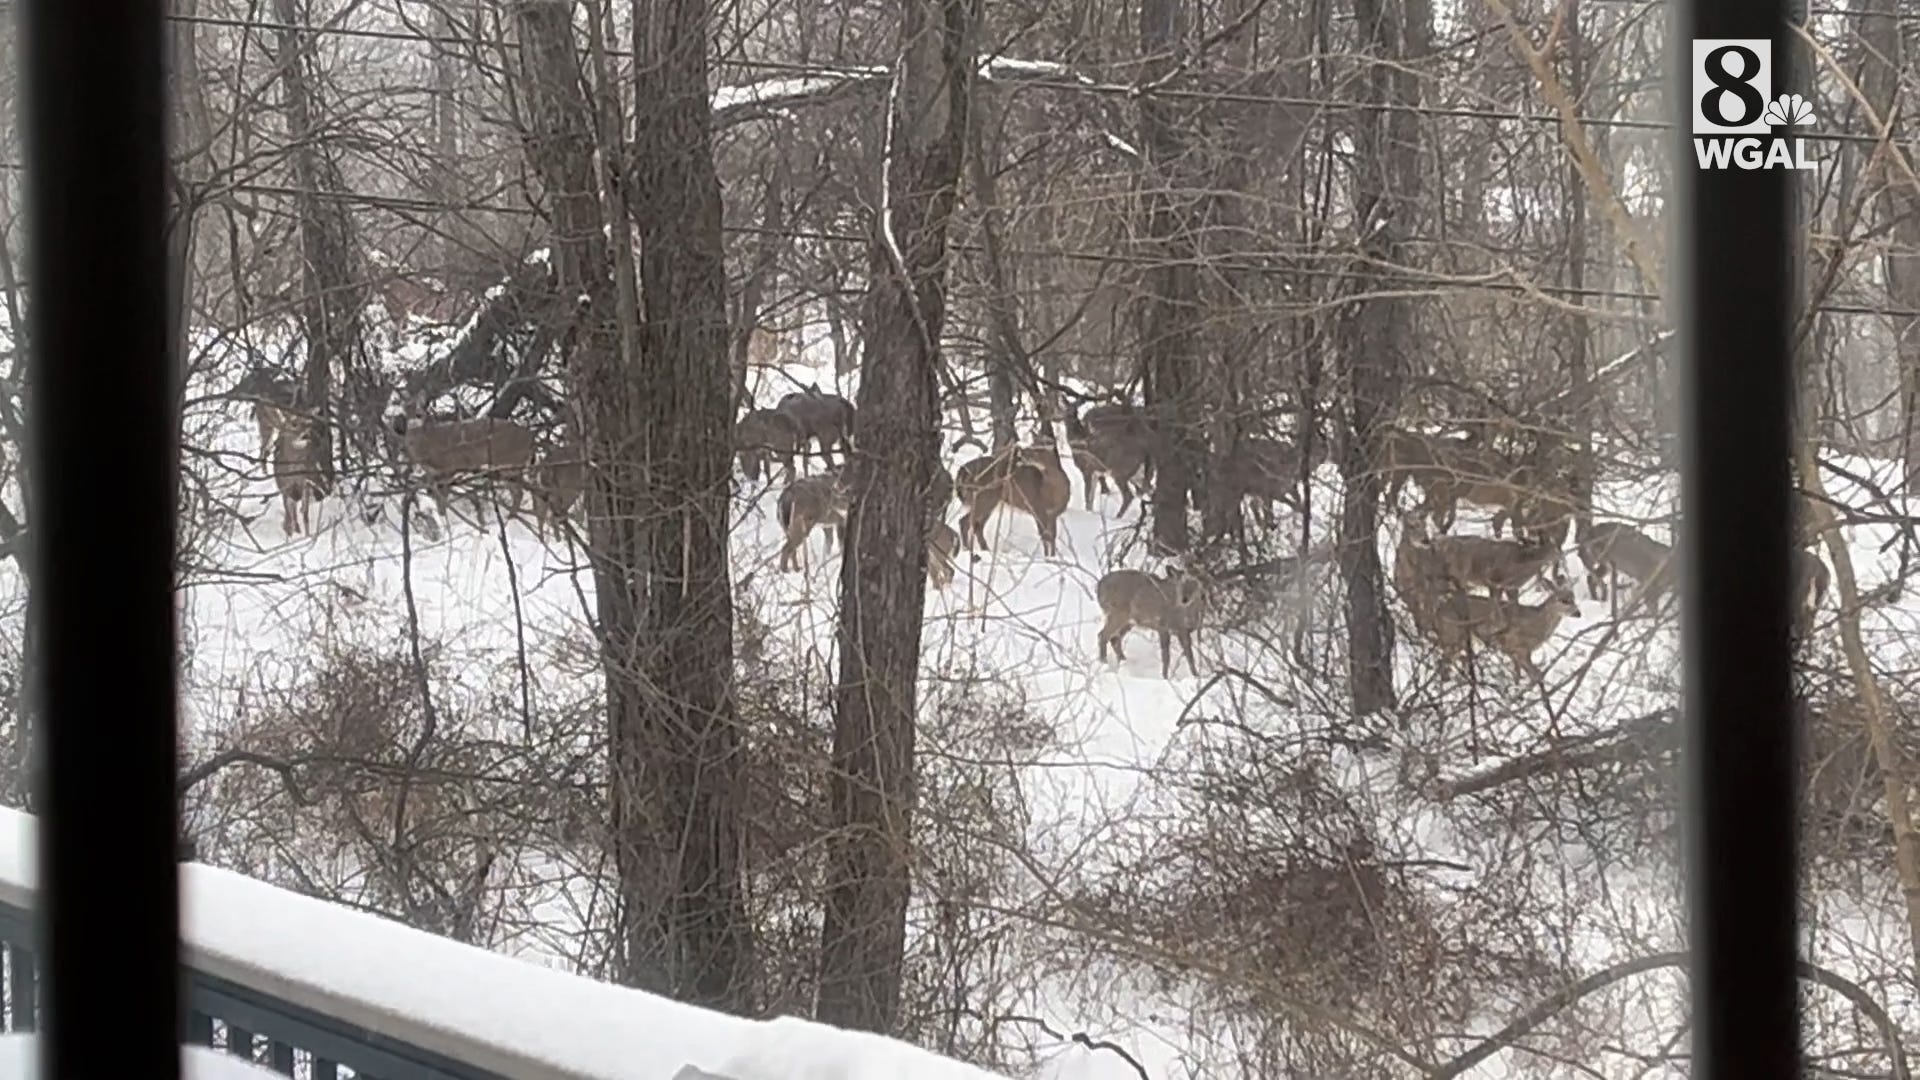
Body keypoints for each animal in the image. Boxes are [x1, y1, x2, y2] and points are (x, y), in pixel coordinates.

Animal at [393, 414, 538, 529]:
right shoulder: (436, 473)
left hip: (508, 462)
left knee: (519, 491)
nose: (403, 449)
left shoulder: (449, 467)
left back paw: (509, 518)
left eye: (416, 441)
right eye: (408, 441)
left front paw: (443, 517)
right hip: (509, 468)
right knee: (519, 491)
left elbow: (443, 496)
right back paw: (510, 517)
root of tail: (531, 438)